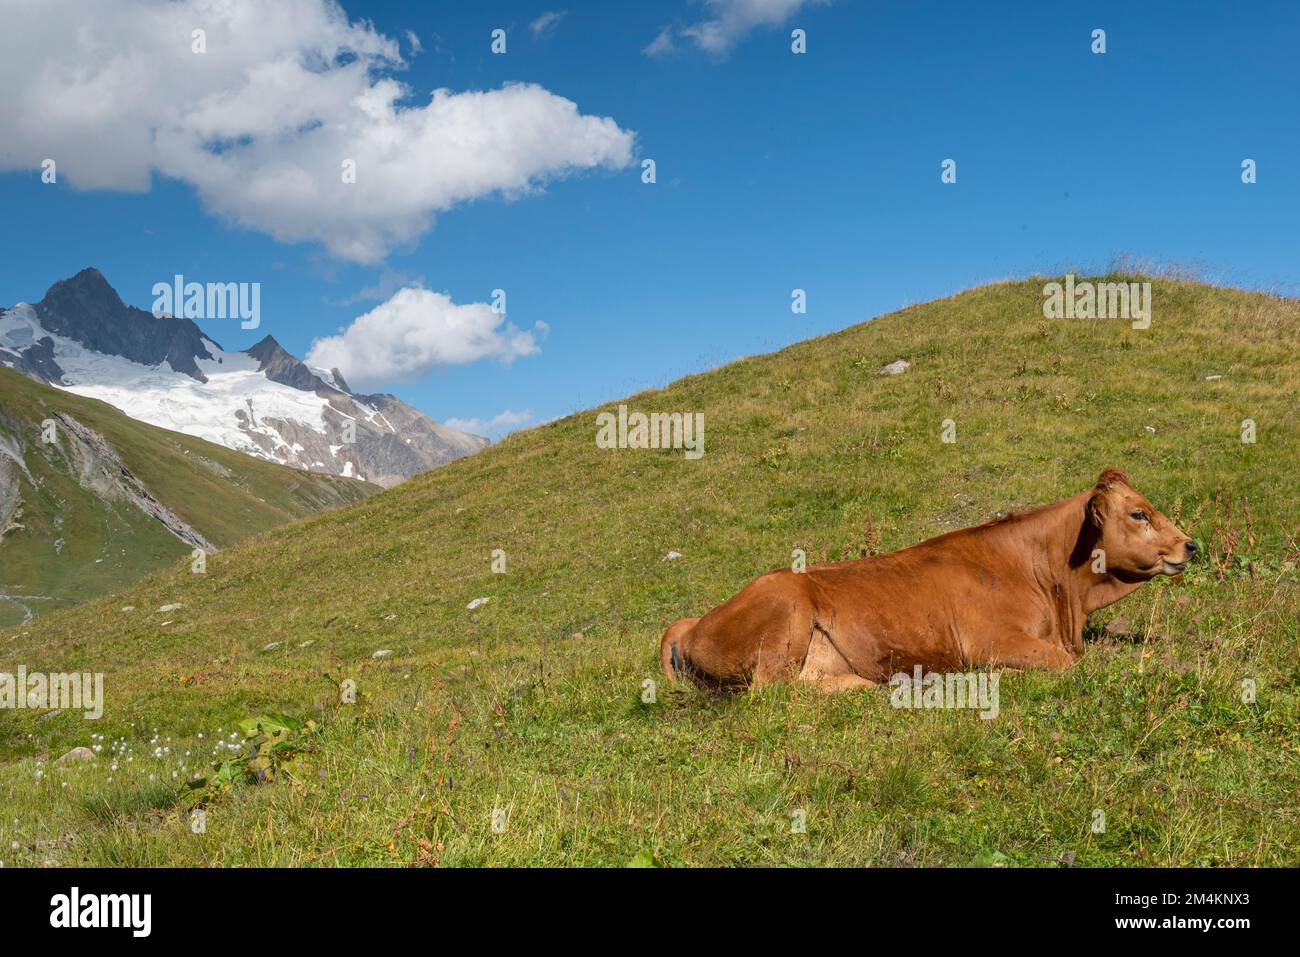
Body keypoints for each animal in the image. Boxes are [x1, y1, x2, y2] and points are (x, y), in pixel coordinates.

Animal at [659, 468, 1196, 692]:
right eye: (1139, 513)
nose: (1190, 545)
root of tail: (689, 625)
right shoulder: (990, 641)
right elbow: (1063, 664)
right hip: (785, 610)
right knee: (771, 692)